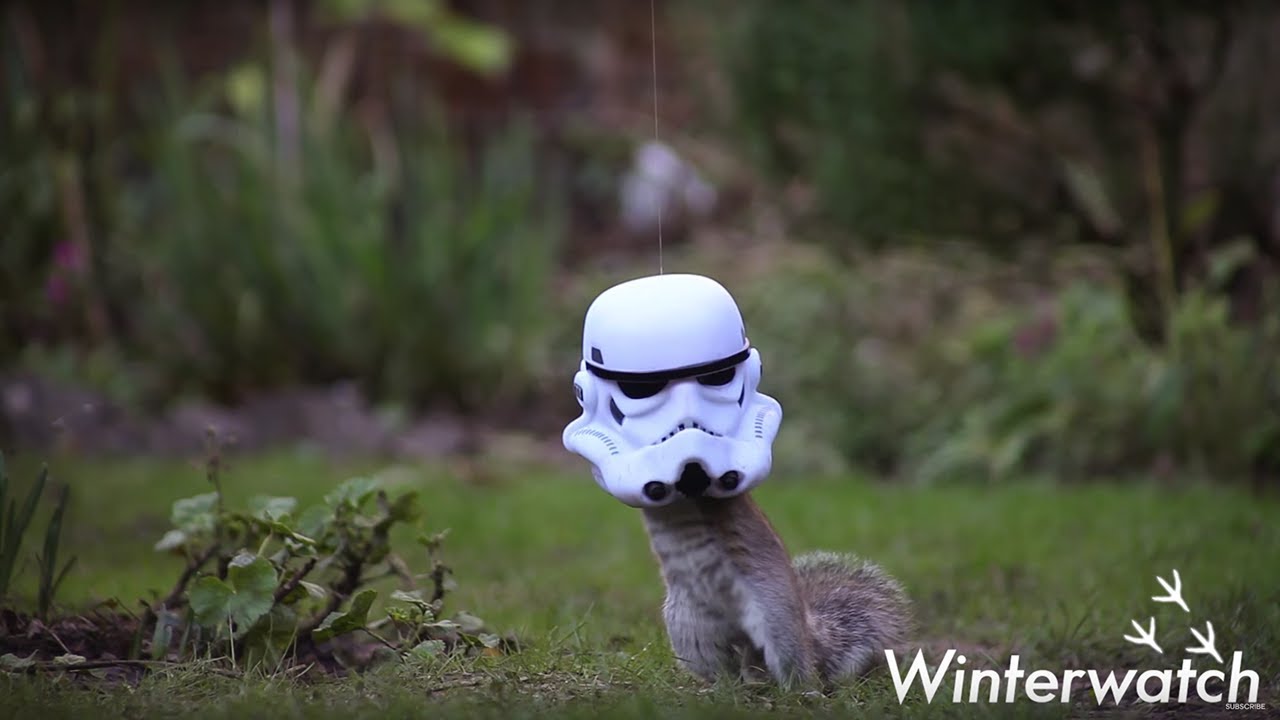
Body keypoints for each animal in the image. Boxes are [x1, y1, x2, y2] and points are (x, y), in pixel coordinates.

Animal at [639, 469, 911, 689]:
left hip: (779, 629)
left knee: (796, 671)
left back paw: (800, 691)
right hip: (691, 631)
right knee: (724, 671)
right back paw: (724, 687)